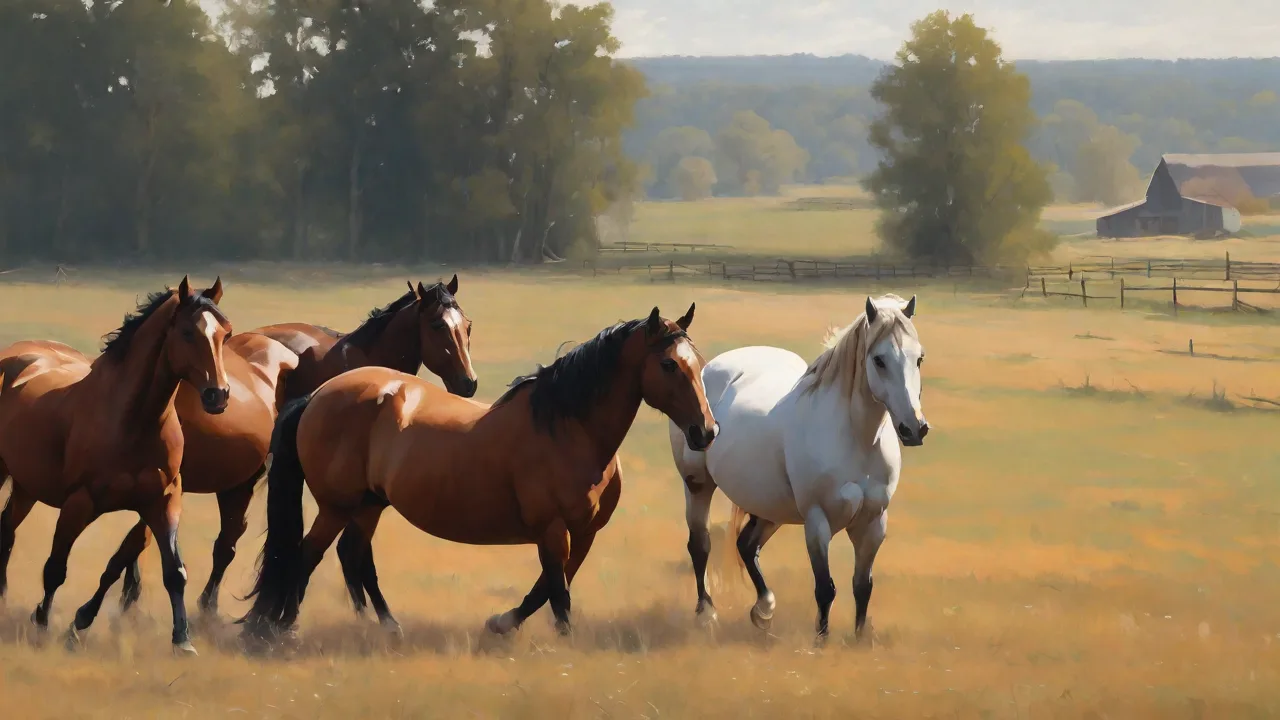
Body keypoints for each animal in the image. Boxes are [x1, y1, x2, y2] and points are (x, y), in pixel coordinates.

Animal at [0, 277, 232, 655]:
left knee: (7, 529)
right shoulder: (79, 503)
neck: (132, 420)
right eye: (187, 332)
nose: (218, 395)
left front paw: (182, 640)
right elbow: (55, 568)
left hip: (26, 485)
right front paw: (42, 624)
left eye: (226, 333)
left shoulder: (163, 500)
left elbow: (173, 571)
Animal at [239, 305, 717, 642]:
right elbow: (557, 593)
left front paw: (503, 622)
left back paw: (385, 625)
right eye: (669, 364)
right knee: (307, 555)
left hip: (369, 504)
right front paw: (551, 637)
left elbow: (549, 586)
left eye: (699, 362)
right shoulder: (553, 528)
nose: (705, 431)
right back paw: (285, 628)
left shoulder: (583, 532)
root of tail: (317, 395)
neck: (568, 428)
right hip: (337, 506)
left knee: (353, 556)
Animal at [669, 294, 928, 644]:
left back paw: (763, 610)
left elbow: (863, 586)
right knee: (700, 545)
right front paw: (821, 641)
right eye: (879, 360)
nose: (915, 428)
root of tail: (707, 368)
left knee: (746, 545)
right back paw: (706, 614)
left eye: (919, 358)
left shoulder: (873, 524)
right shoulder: (817, 521)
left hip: (769, 506)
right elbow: (825, 588)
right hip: (697, 485)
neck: (856, 439)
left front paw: (859, 640)